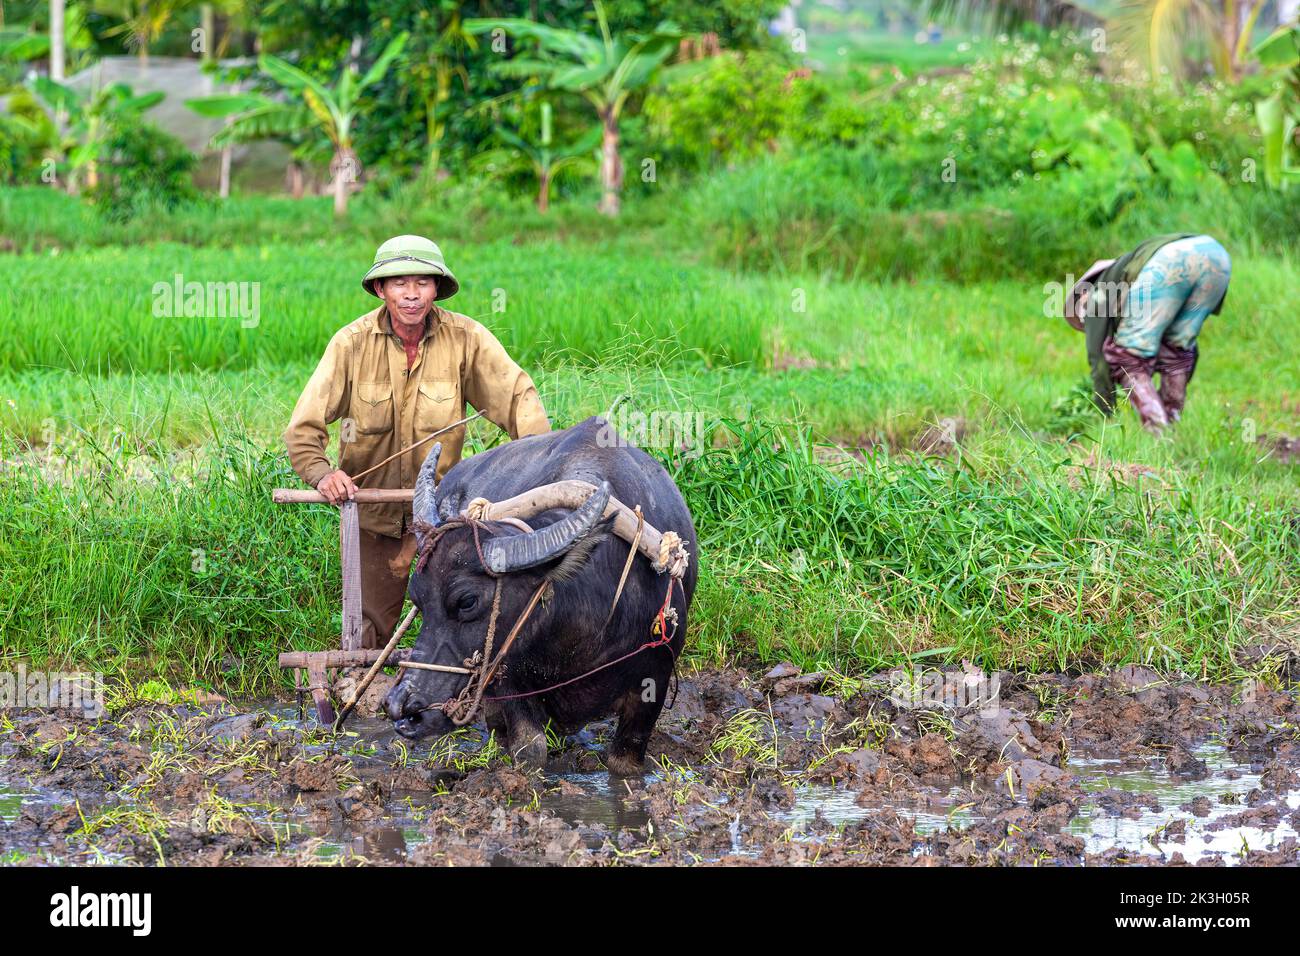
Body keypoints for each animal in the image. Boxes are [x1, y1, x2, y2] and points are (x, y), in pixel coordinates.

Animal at [383, 416, 698, 774]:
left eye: (467, 601)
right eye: (417, 599)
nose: (402, 707)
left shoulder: (654, 680)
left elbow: (625, 761)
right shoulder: (508, 676)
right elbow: (530, 748)